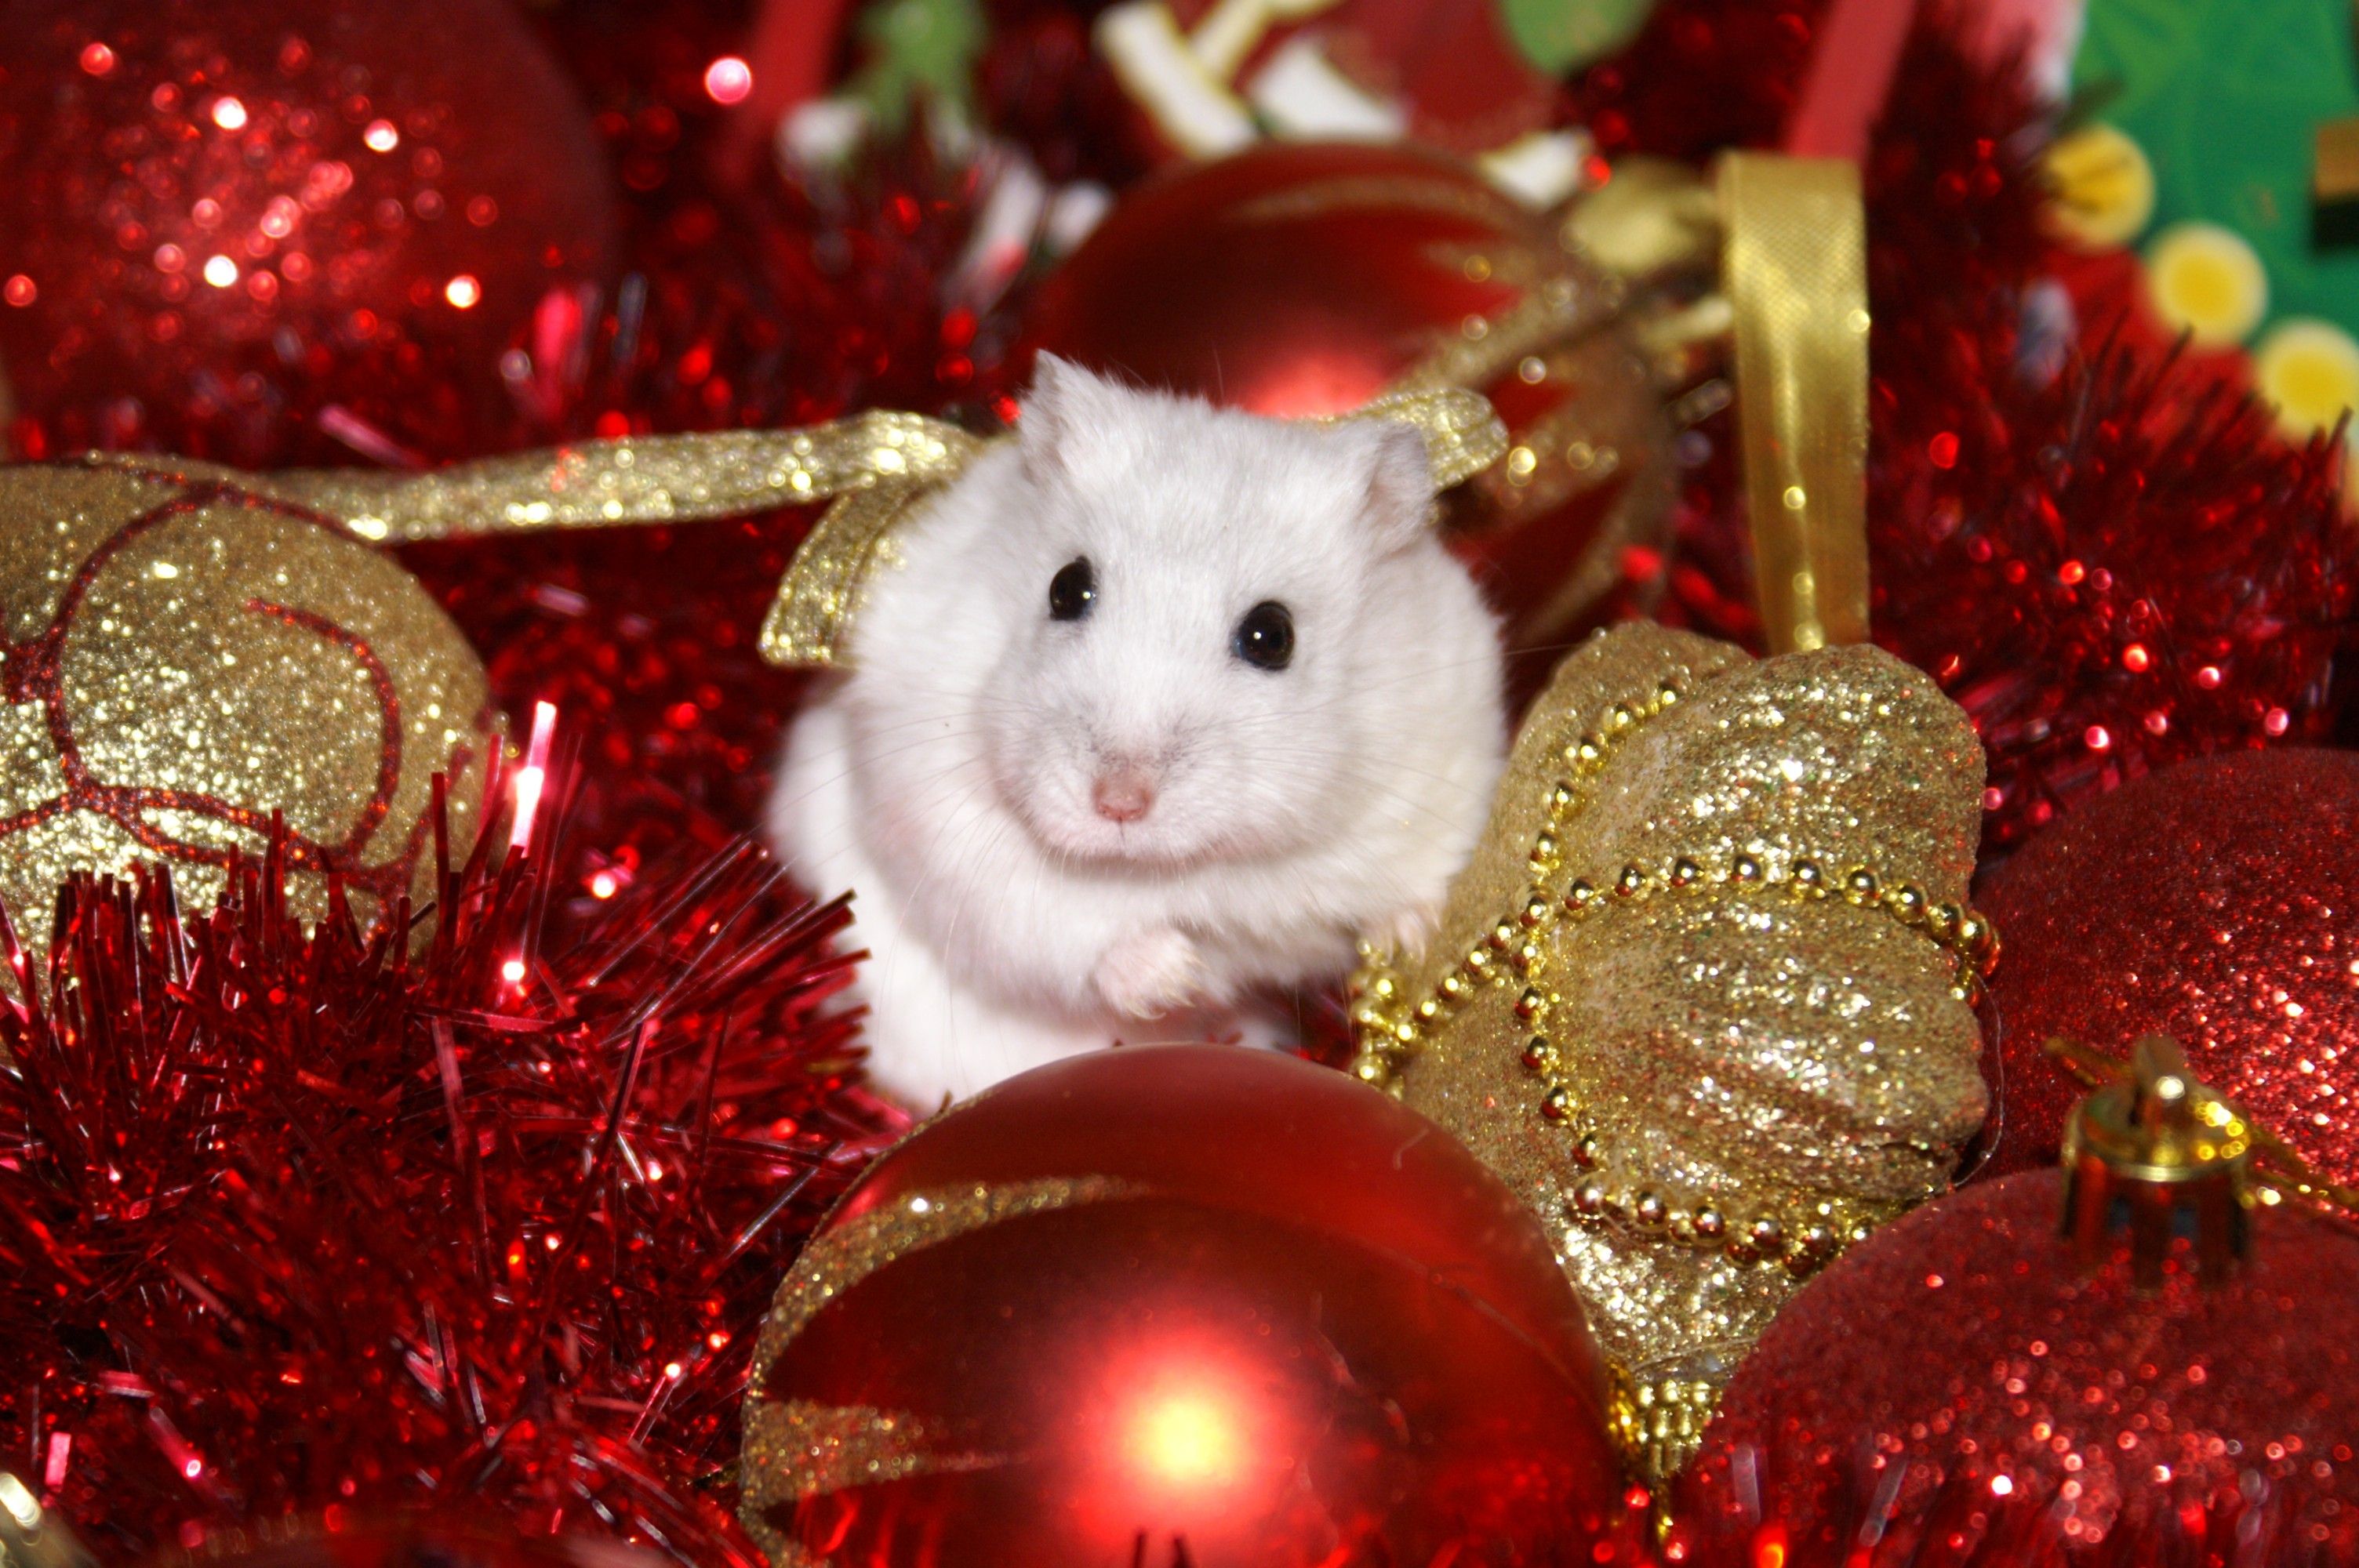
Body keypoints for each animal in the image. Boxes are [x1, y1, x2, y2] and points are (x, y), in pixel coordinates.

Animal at [766, 356, 1507, 1107]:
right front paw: (1179, 975)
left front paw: (1408, 940)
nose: (1118, 805)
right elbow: (1073, 929)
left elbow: (1415, 875)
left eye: (1273, 636)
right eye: (1066, 588)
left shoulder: (1436, 759)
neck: (1187, 865)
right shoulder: (945, 824)